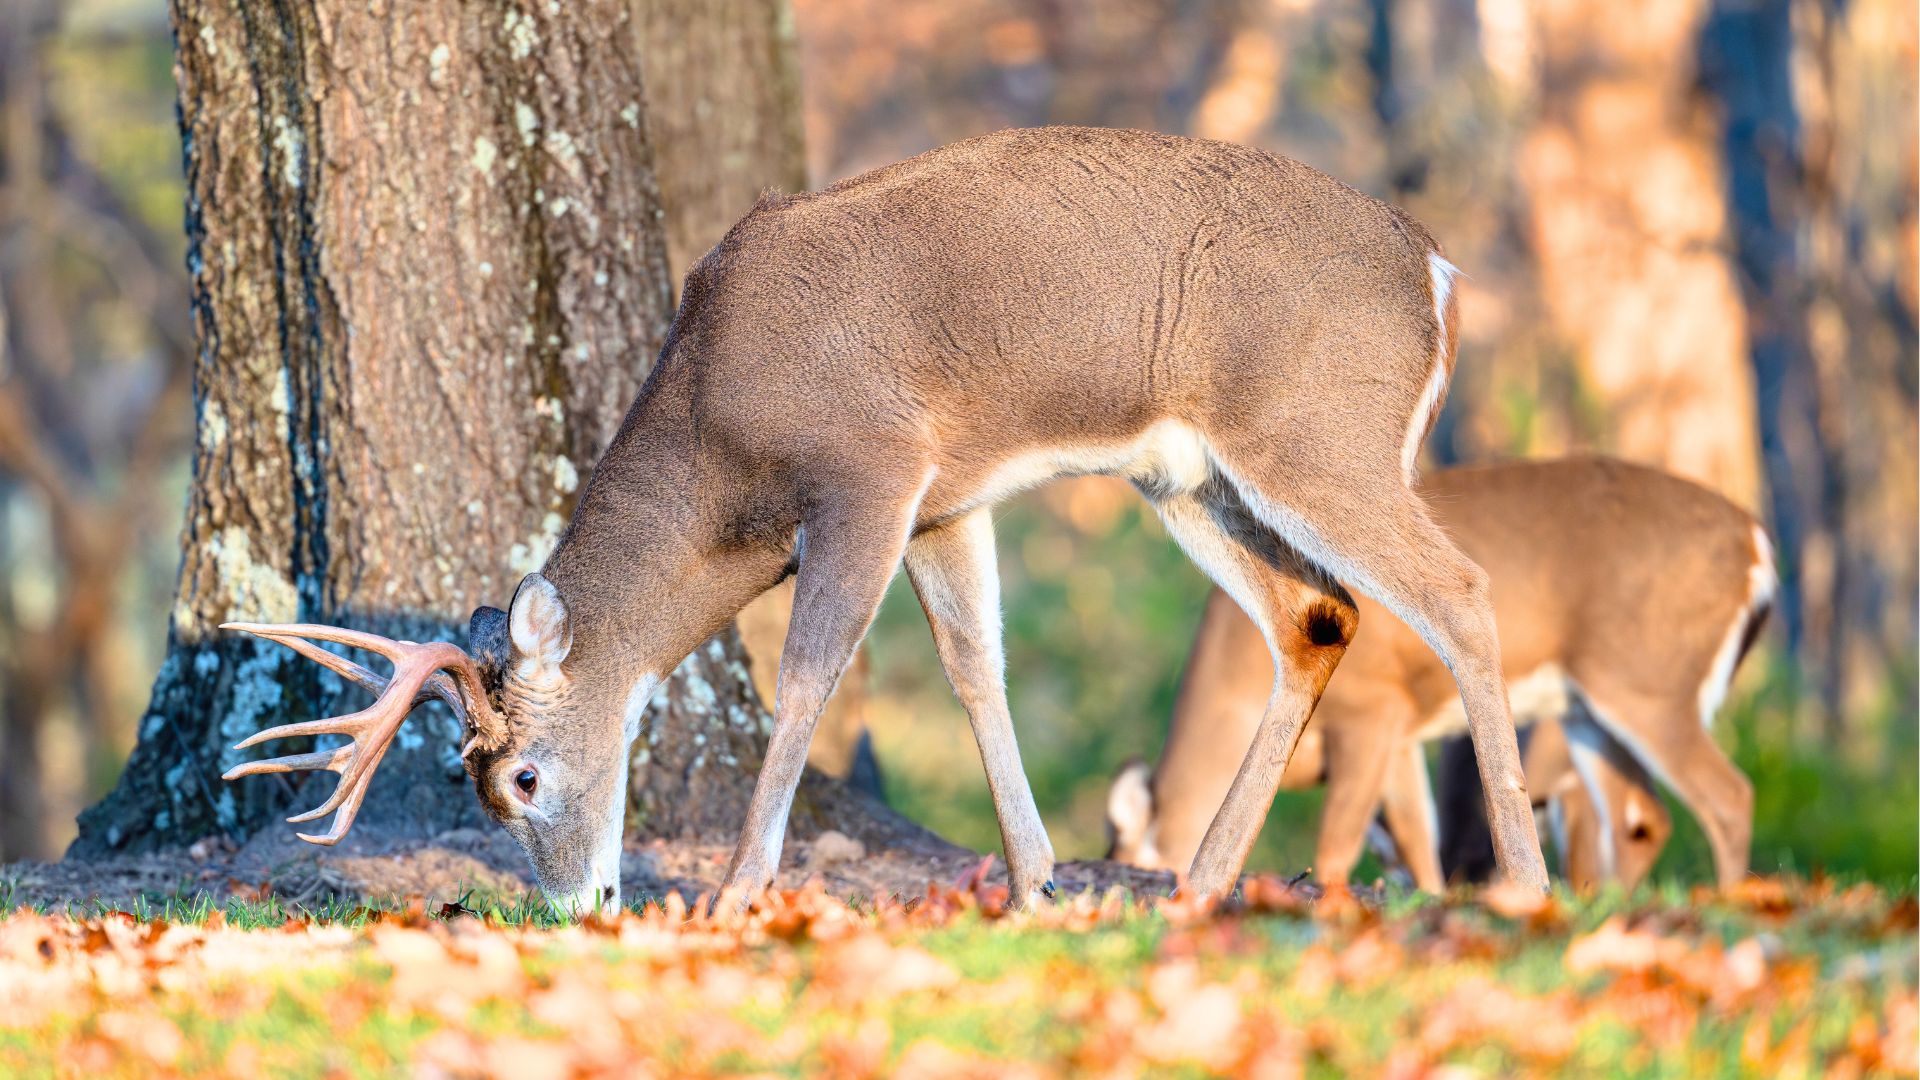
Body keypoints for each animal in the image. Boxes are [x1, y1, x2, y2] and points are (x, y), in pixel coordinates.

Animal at [217, 125, 1553, 915]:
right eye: (484, 795)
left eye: (525, 778)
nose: (576, 908)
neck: (722, 447)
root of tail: (1438, 279)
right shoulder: (944, 499)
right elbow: (975, 668)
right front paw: (1031, 884)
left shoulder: (868, 465)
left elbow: (812, 672)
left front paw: (737, 894)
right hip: (1196, 482)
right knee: (1317, 620)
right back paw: (1196, 890)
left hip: (1314, 435)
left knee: (1459, 595)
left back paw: (1528, 883)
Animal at [1105, 456, 1772, 892]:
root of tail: (1758, 549)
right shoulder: (1400, 736)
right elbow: (1415, 844)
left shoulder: (1372, 711)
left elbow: (1337, 848)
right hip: (1589, 712)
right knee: (1642, 817)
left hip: (1649, 687)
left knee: (1729, 796)